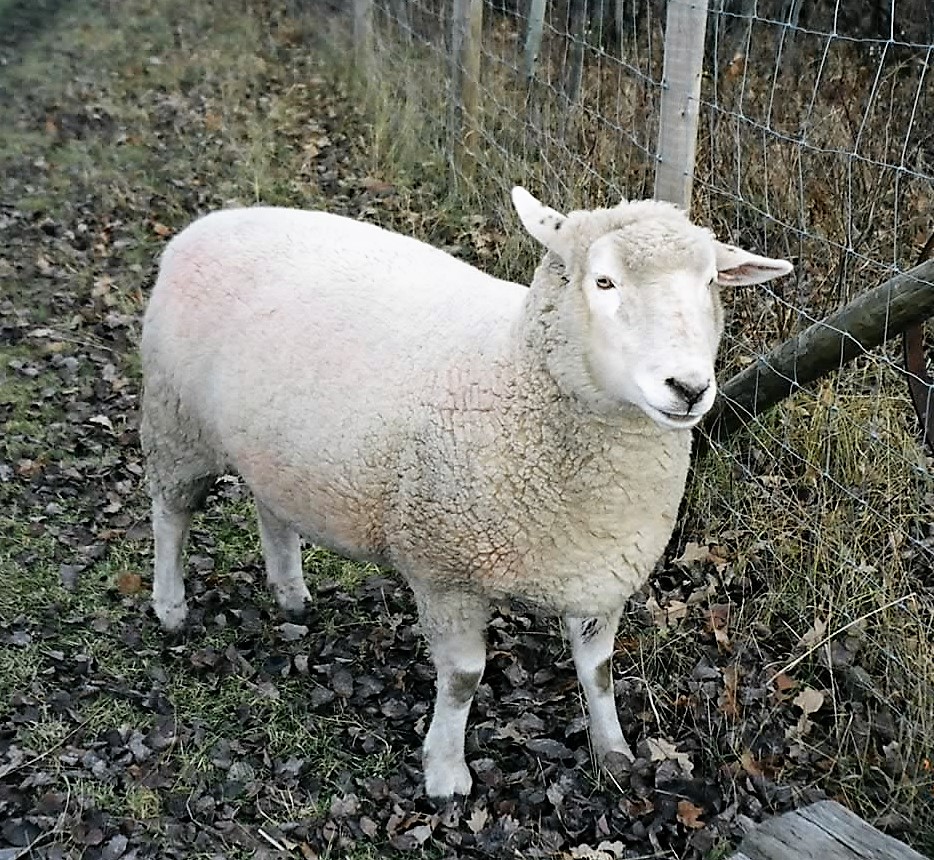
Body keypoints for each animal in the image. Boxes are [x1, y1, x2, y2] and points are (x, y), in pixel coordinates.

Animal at [140, 187, 792, 799]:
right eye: (603, 281)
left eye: (710, 282)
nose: (689, 387)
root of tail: (214, 220)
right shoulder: (446, 573)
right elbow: (462, 679)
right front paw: (446, 772)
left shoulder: (601, 575)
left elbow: (600, 673)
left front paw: (613, 751)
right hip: (177, 423)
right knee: (171, 514)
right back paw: (170, 608)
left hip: (269, 447)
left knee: (271, 511)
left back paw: (291, 594)